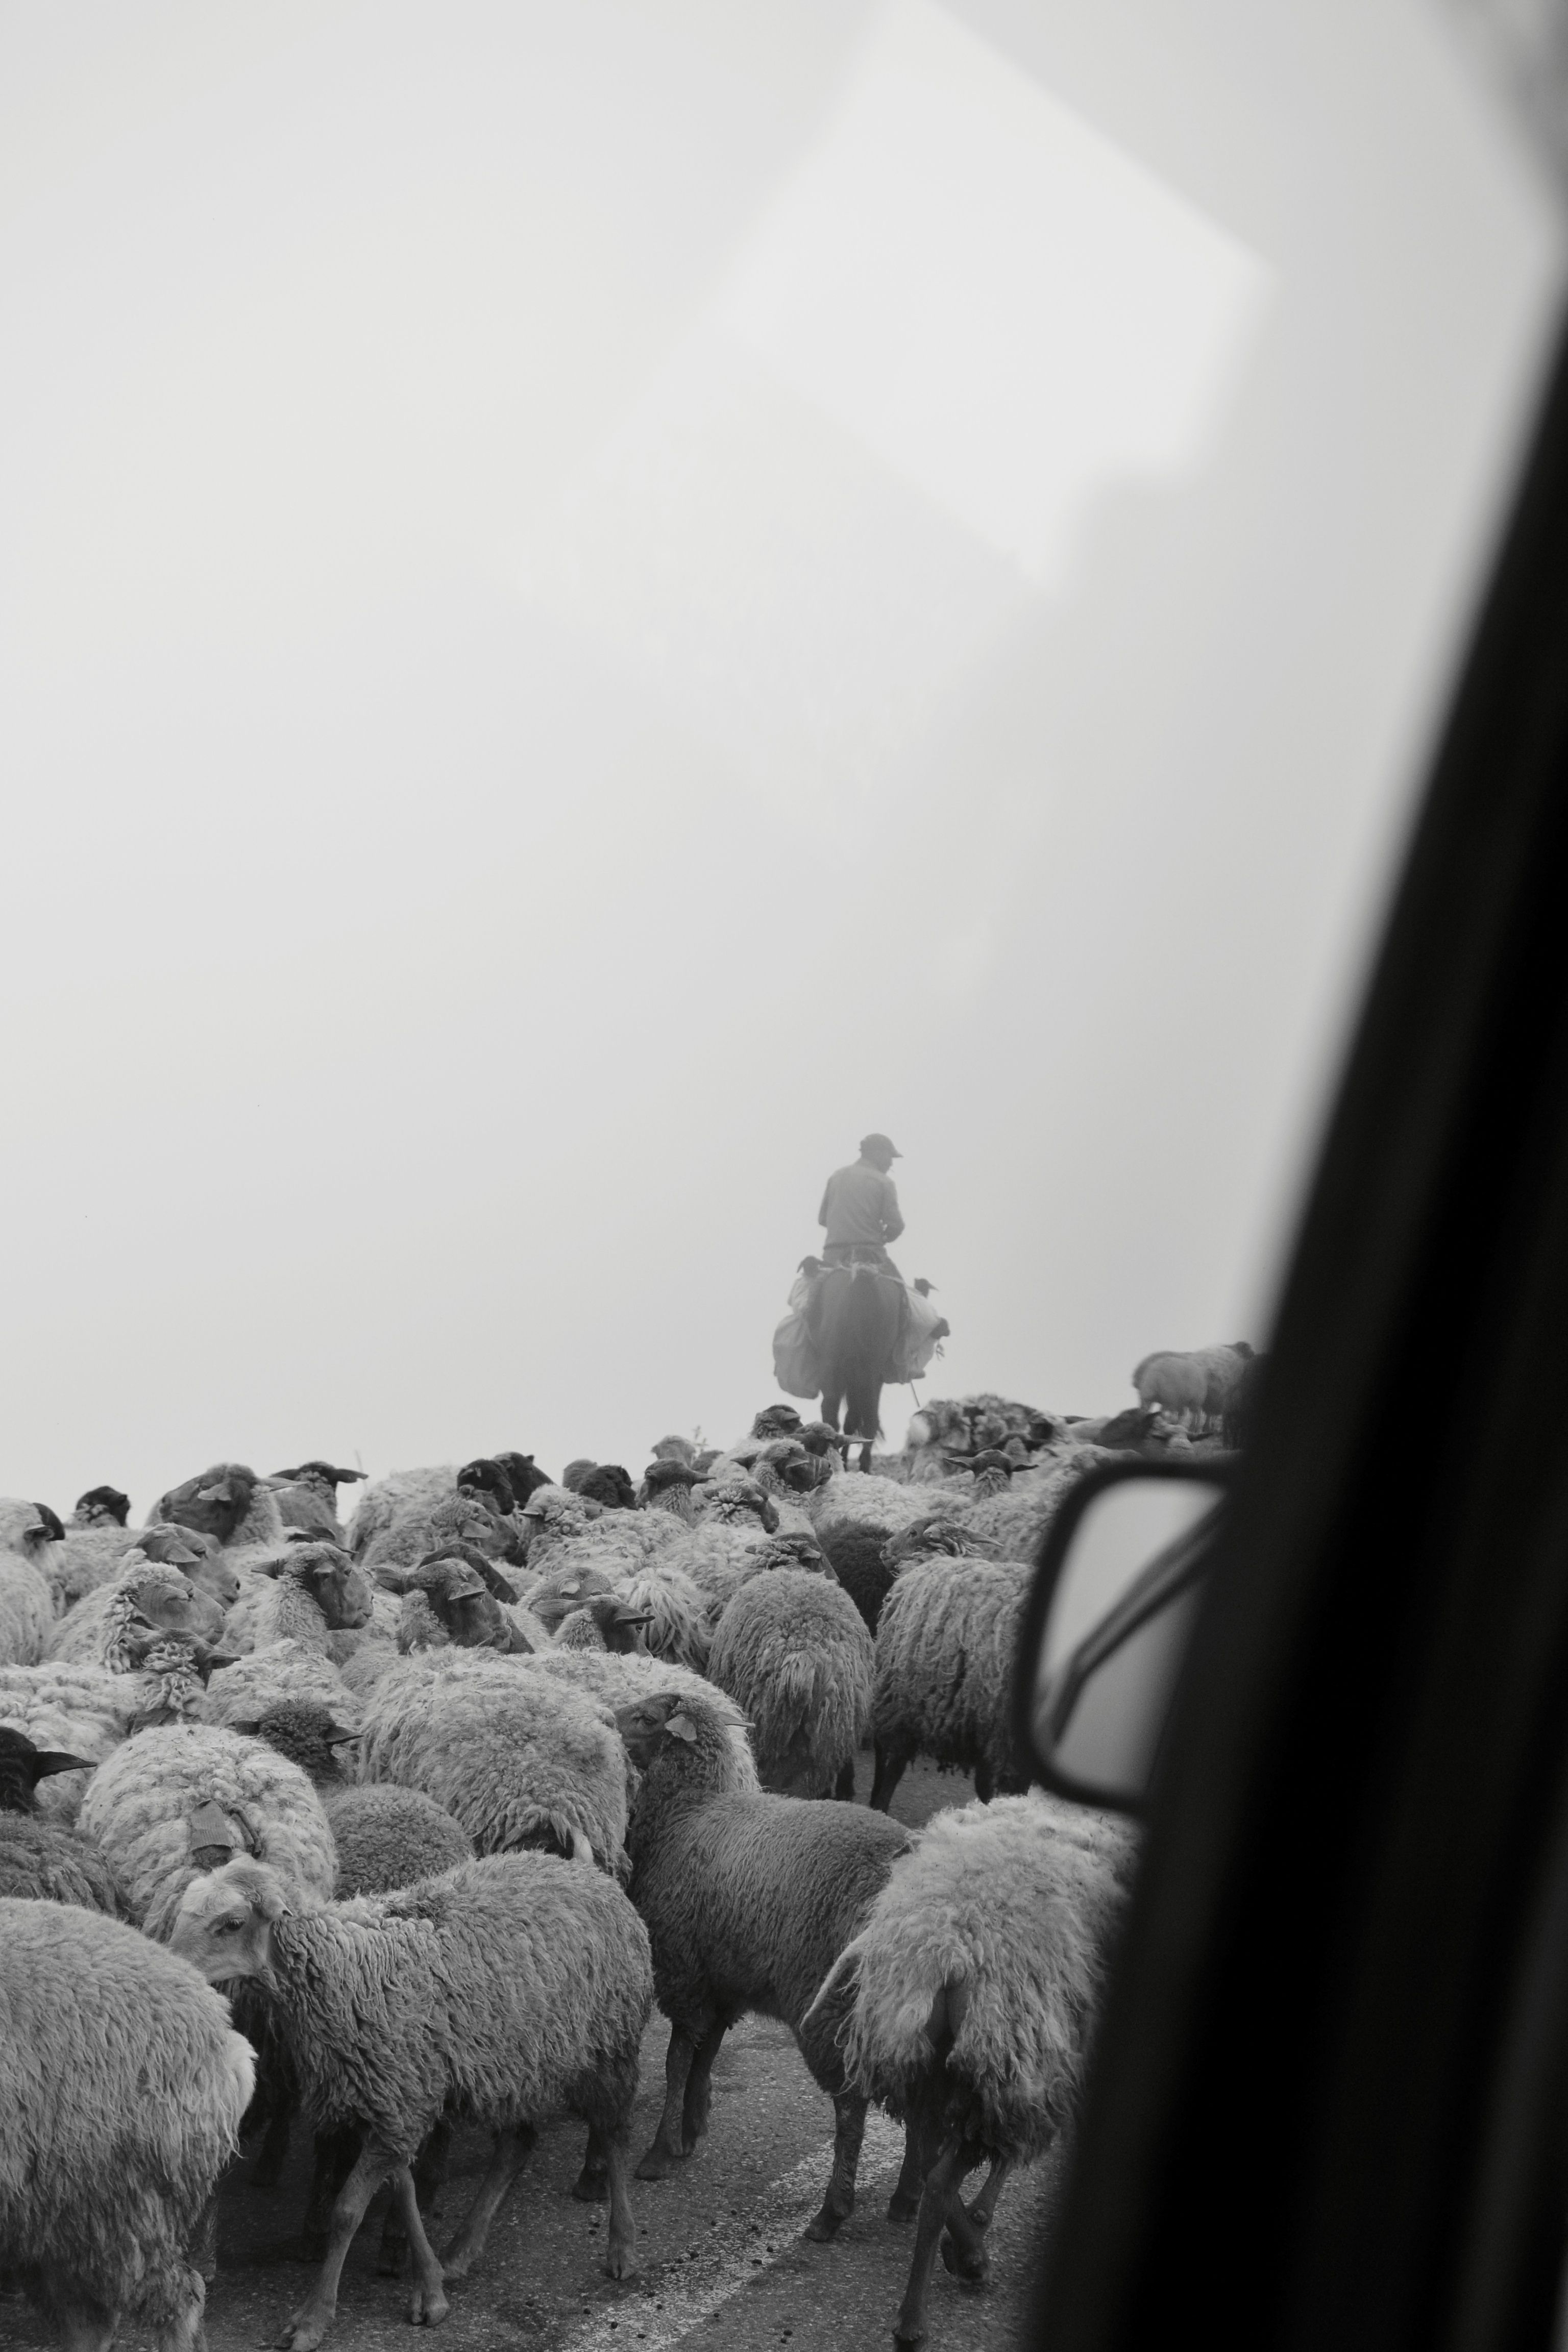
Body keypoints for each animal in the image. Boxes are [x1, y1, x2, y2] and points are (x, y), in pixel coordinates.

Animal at [170, 1850, 654, 2341]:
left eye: (232, 1923)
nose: (174, 1969)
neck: (346, 1966)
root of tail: (585, 1871)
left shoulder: (397, 2103)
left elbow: (348, 2211)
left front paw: (313, 2317)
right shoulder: (393, 2099)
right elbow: (404, 2192)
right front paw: (431, 2289)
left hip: (609, 2043)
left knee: (614, 2133)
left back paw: (623, 2249)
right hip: (518, 2065)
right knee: (517, 2146)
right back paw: (460, 2252)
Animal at [616, 1687, 921, 2236]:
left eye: (647, 1718)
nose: (603, 1720)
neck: (690, 1810)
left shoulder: (684, 1970)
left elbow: (676, 2060)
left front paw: (660, 2151)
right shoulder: (722, 1977)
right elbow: (706, 2053)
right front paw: (691, 2131)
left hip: (830, 2005)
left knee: (851, 2108)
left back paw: (832, 2211)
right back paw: (907, 2198)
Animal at [808, 1791, 1136, 2348]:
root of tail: (938, 1950)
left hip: (935, 2060)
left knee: (928, 2155)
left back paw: (961, 2254)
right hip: (998, 2053)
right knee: (945, 2175)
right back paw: (921, 2313)